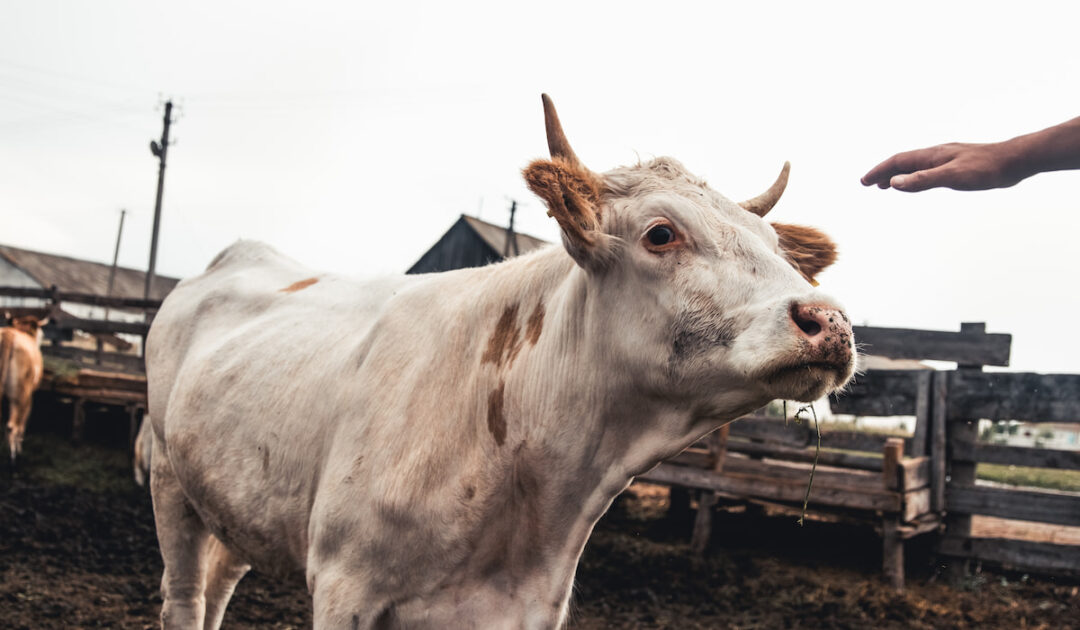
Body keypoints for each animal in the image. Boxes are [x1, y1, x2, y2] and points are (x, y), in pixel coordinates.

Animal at [2, 313, 48, 464]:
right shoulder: (29, 396)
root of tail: (8, 335)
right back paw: (13, 459)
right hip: (20, 394)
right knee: (13, 426)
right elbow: (23, 422)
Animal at [145, 95, 856, 629]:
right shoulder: (345, 589)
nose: (830, 322)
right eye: (661, 233)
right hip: (170, 484)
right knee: (185, 600)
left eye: (775, 247)